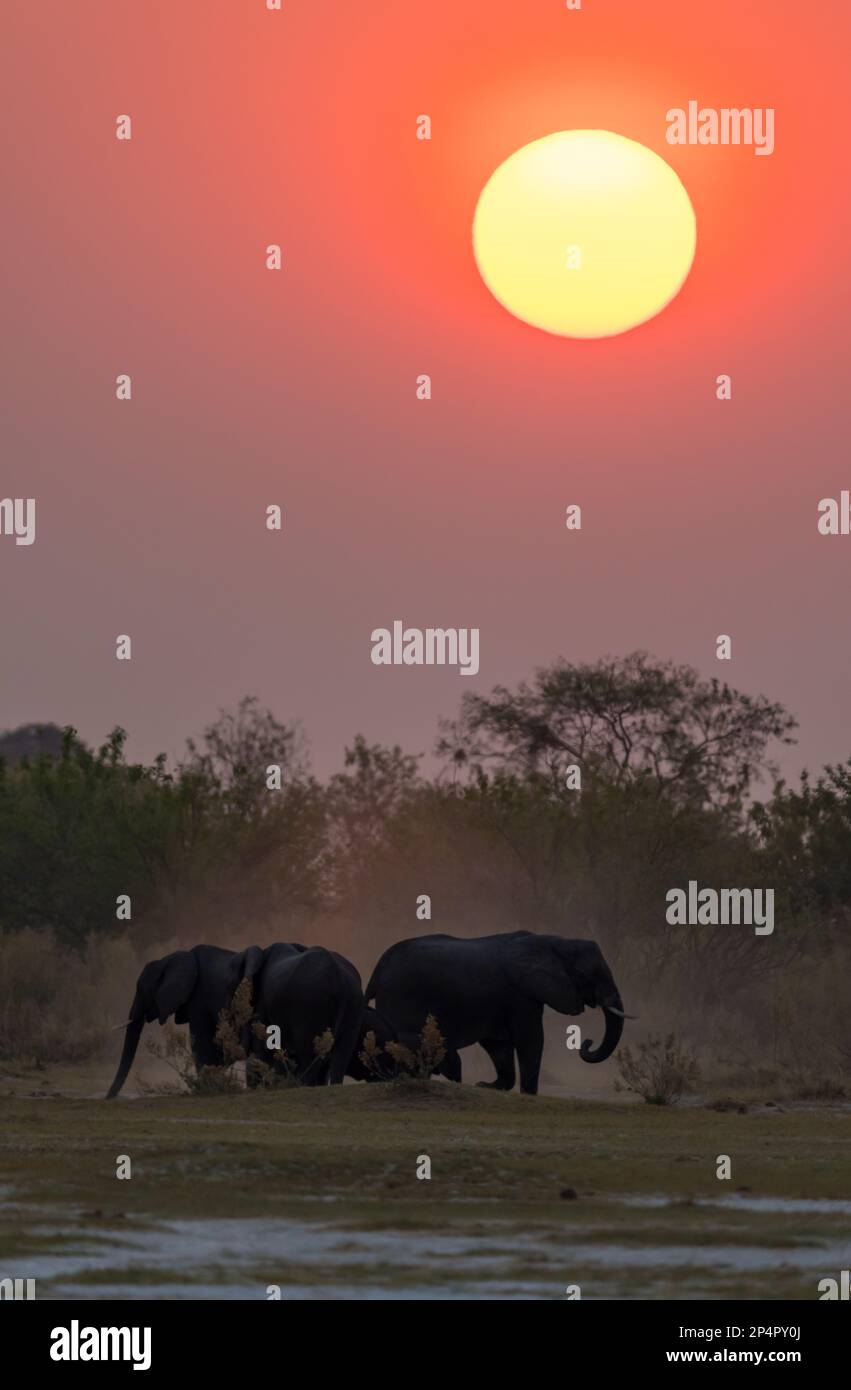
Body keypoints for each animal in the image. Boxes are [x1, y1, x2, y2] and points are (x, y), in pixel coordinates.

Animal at [228, 942, 364, 1085]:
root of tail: (340, 981)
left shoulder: (262, 1003)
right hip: (354, 1006)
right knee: (341, 1057)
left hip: (310, 1007)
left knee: (308, 1057)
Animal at [364, 931, 631, 1095]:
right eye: (588, 975)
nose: (586, 1042)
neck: (553, 941)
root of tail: (379, 966)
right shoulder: (519, 994)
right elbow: (531, 1040)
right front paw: (528, 1094)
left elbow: (498, 1045)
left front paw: (486, 1086)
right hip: (401, 996)